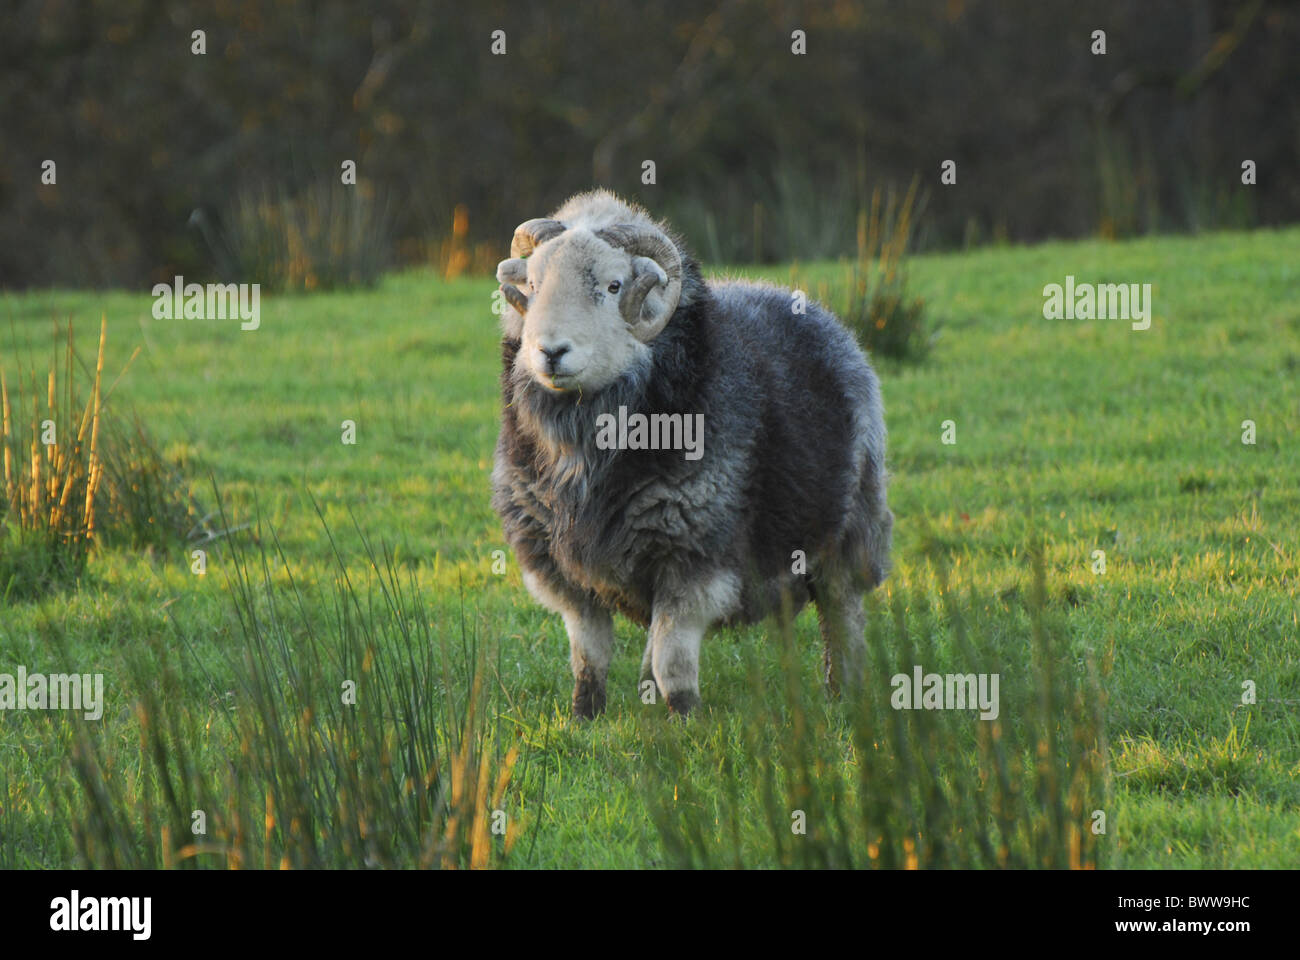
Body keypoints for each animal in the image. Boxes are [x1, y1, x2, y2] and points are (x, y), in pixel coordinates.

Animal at [491, 189, 892, 717]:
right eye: (533, 285)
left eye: (614, 286)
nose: (551, 352)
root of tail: (806, 305)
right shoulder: (562, 568)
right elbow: (588, 656)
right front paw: (584, 717)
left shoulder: (694, 557)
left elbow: (674, 659)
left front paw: (686, 718)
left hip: (849, 530)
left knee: (843, 616)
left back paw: (845, 693)